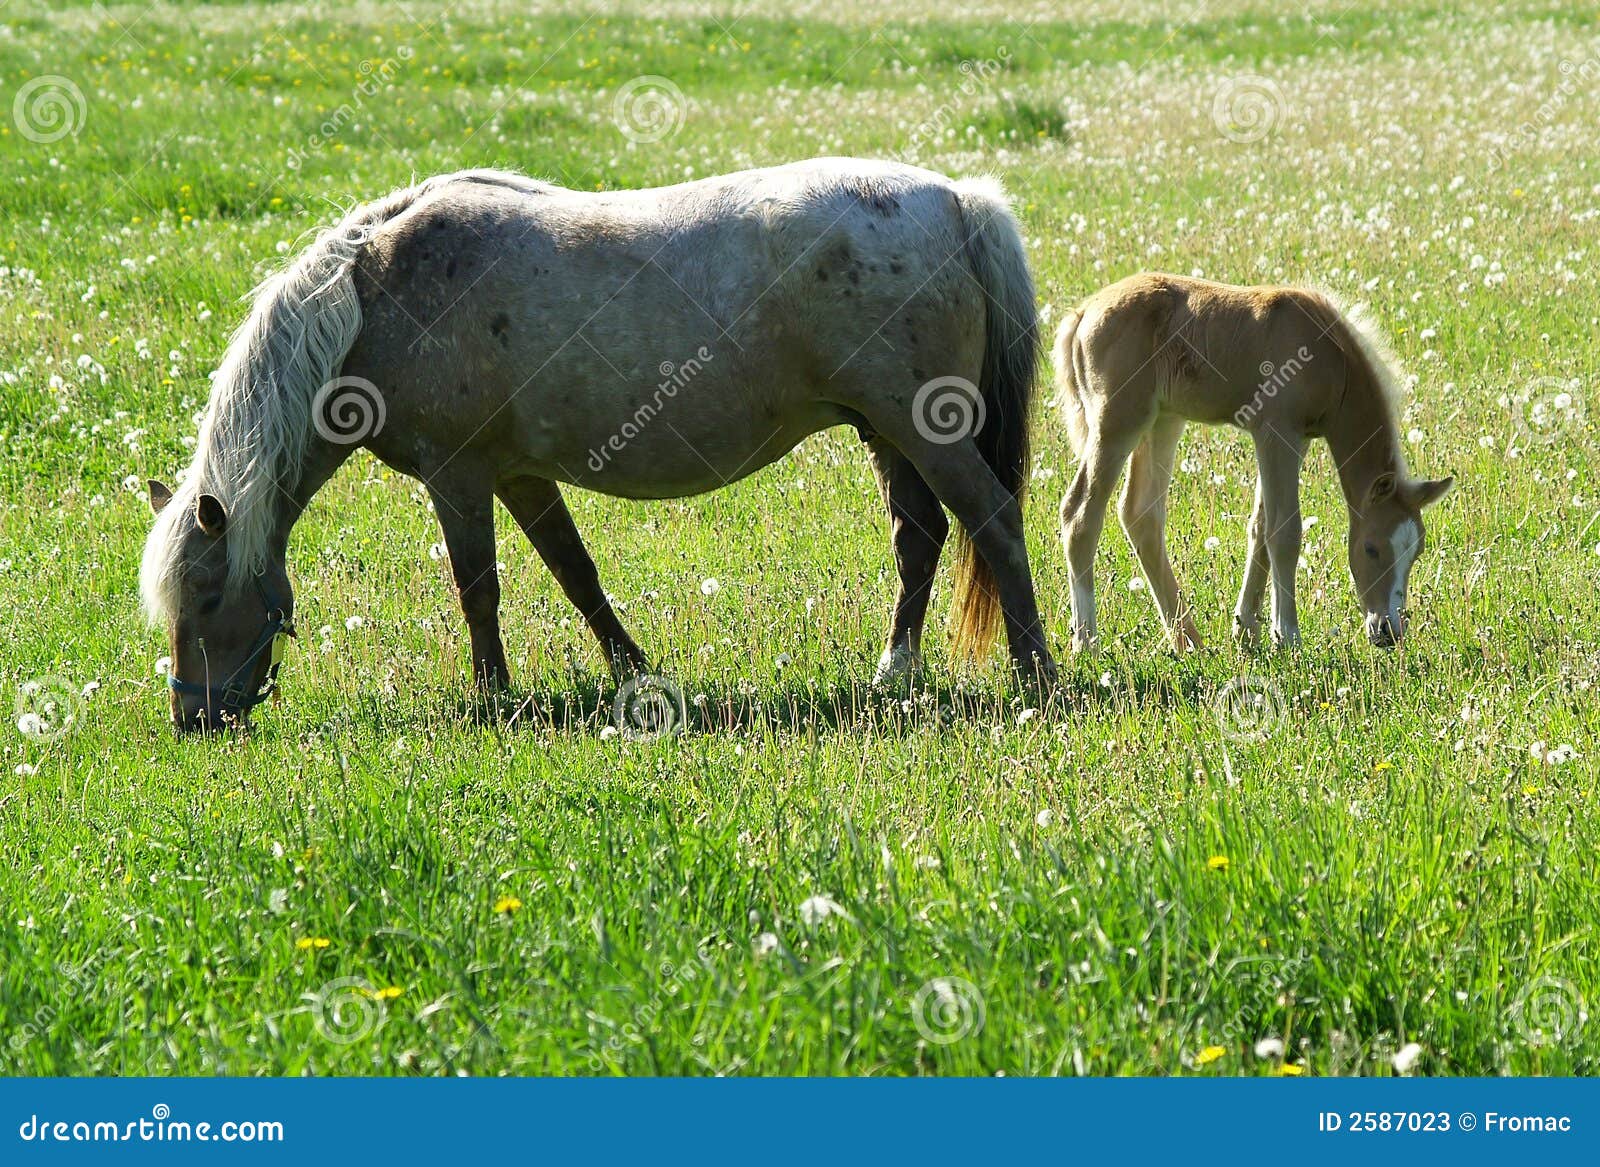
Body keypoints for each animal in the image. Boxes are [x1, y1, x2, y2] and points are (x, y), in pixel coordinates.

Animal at [140, 160, 1057, 731]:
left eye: (207, 596)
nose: (192, 717)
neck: (373, 295)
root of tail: (957, 200)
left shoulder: (458, 476)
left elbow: (479, 590)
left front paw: (492, 698)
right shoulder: (519, 477)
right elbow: (576, 576)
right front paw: (636, 679)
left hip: (922, 431)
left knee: (993, 521)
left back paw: (1037, 675)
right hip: (888, 434)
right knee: (921, 540)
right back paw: (894, 673)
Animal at [1053, 273, 1453, 653]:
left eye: (1416, 551)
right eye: (1371, 547)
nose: (1388, 630)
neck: (1330, 357)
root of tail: (1083, 312)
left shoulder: (1295, 439)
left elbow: (1261, 527)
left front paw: (1246, 631)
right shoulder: (1276, 432)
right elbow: (1284, 530)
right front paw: (1287, 635)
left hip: (1163, 420)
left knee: (1141, 514)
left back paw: (1189, 641)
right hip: (1118, 423)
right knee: (1080, 512)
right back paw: (1087, 641)